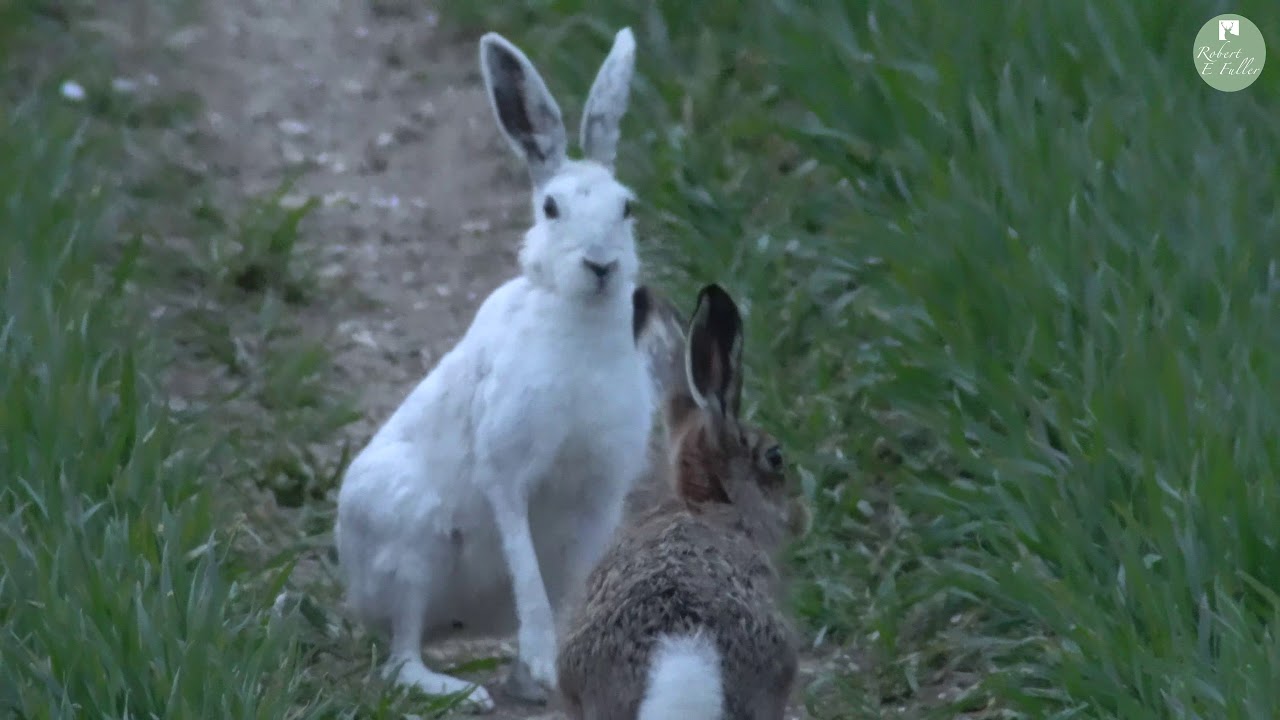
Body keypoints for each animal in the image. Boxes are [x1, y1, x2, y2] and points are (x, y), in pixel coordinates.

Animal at [333, 27, 672, 712]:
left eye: (626, 207)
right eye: (551, 208)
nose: (601, 265)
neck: (580, 322)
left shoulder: (600, 495)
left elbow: (564, 590)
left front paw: (549, 676)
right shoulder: (508, 470)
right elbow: (529, 575)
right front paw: (541, 665)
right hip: (405, 539)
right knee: (401, 655)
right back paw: (457, 691)